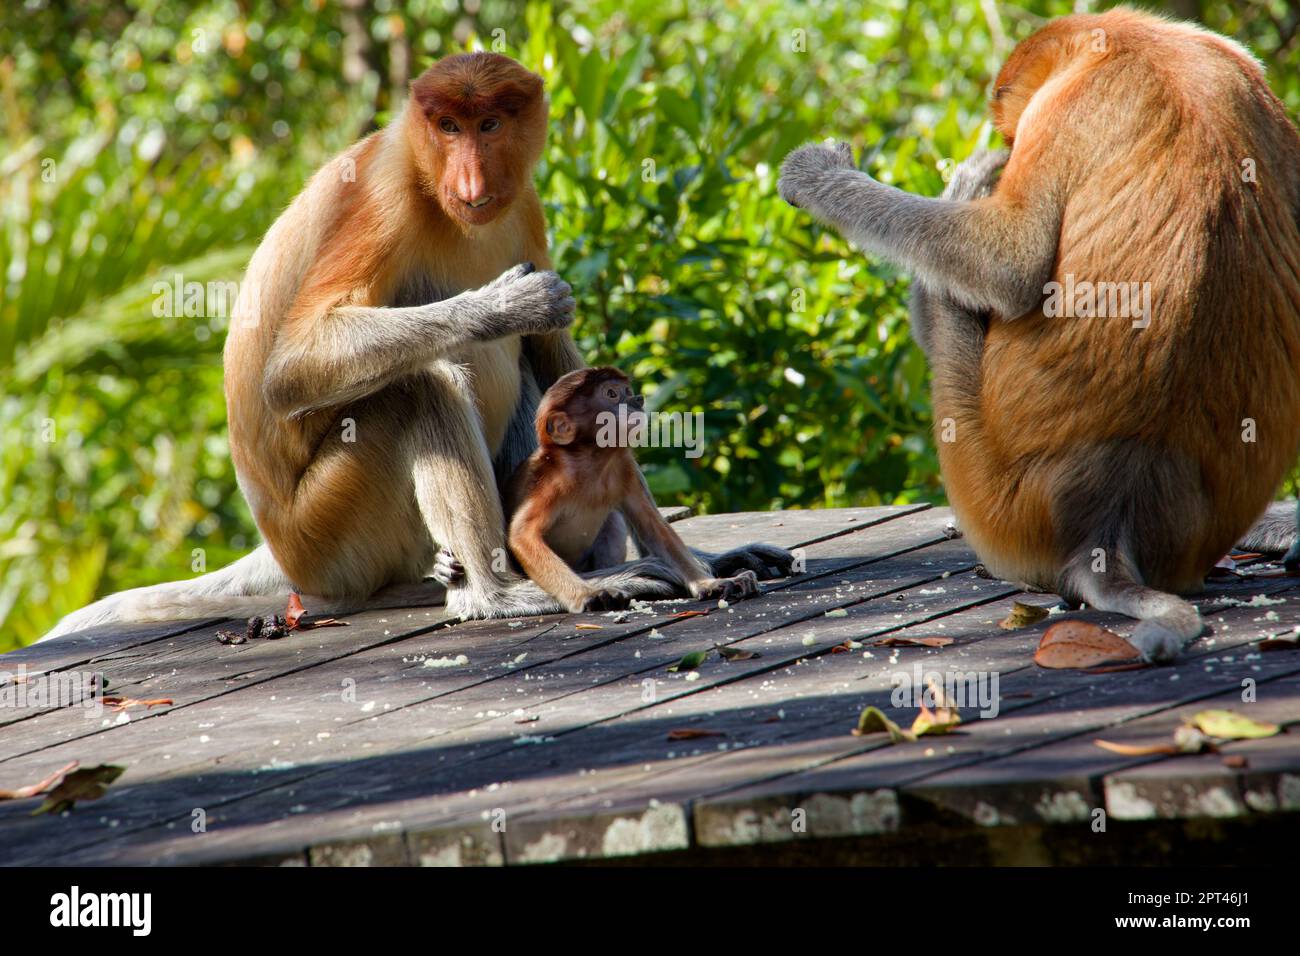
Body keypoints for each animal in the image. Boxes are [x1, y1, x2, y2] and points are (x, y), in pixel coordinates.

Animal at [503, 367, 761, 612]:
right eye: (611, 394)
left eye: (627, 391)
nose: (638, 399)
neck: (591, 462)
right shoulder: (553, 482)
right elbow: (523, 535)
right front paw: (587, 594)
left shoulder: (622, 468)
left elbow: (652, 525)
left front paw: (709, 583)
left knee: (613, 521)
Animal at [778, 8, 1300, 663]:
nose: (1005, 145)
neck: (1136, 41)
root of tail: (1110, 518)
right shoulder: (1238, 59)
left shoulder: (1067, 104)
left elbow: (1007, 263)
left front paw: (822, 176)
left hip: (995, 502)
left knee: (952, 300)